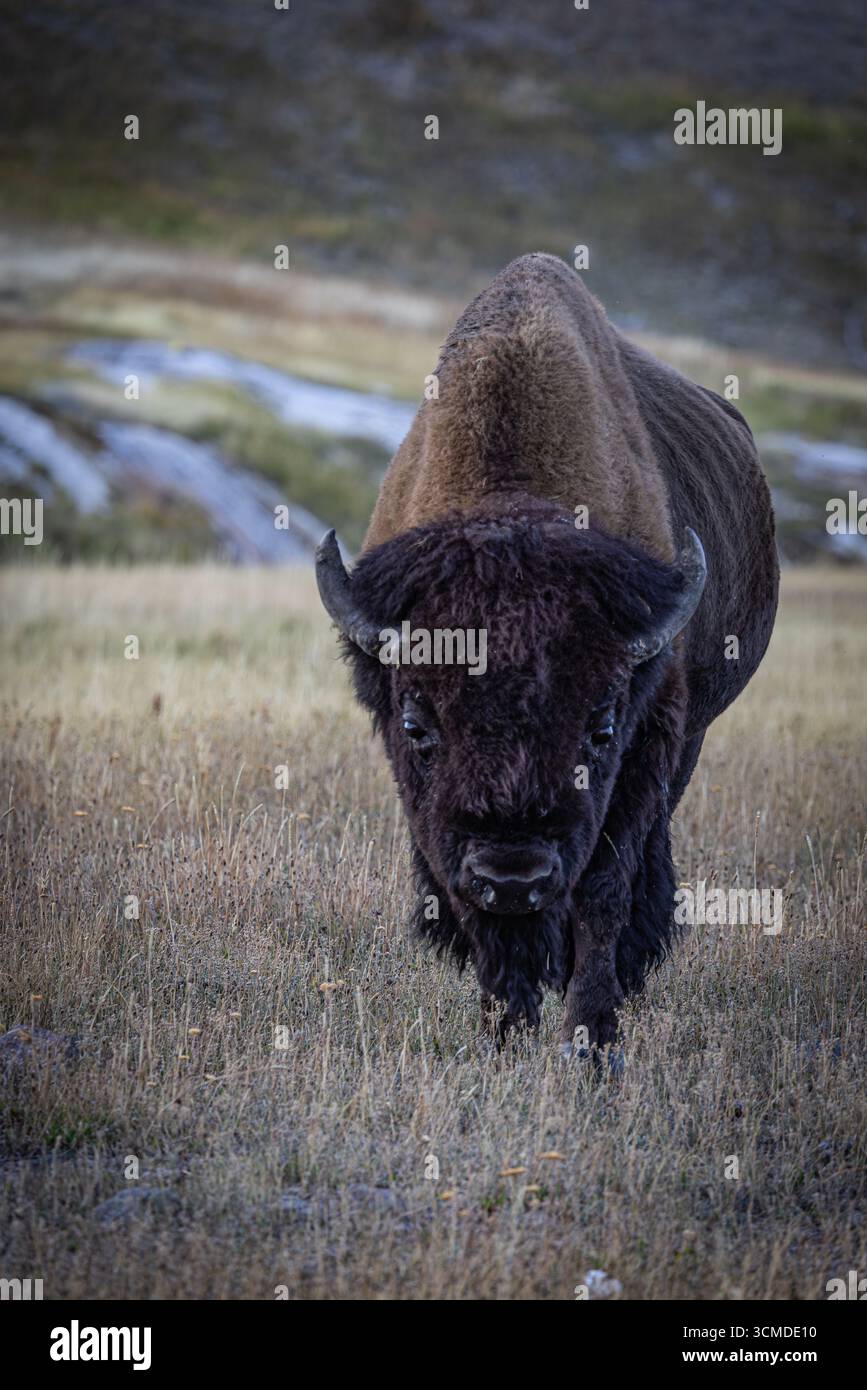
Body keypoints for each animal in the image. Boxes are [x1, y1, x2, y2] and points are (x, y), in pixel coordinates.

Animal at [316, 253, 779, 1054]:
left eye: (600, 725)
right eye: (415, 725)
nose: (513, 877)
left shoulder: (648, 740)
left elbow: (603, 892)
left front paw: (592, 1041)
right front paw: (504, 1031)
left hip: (691, 738)